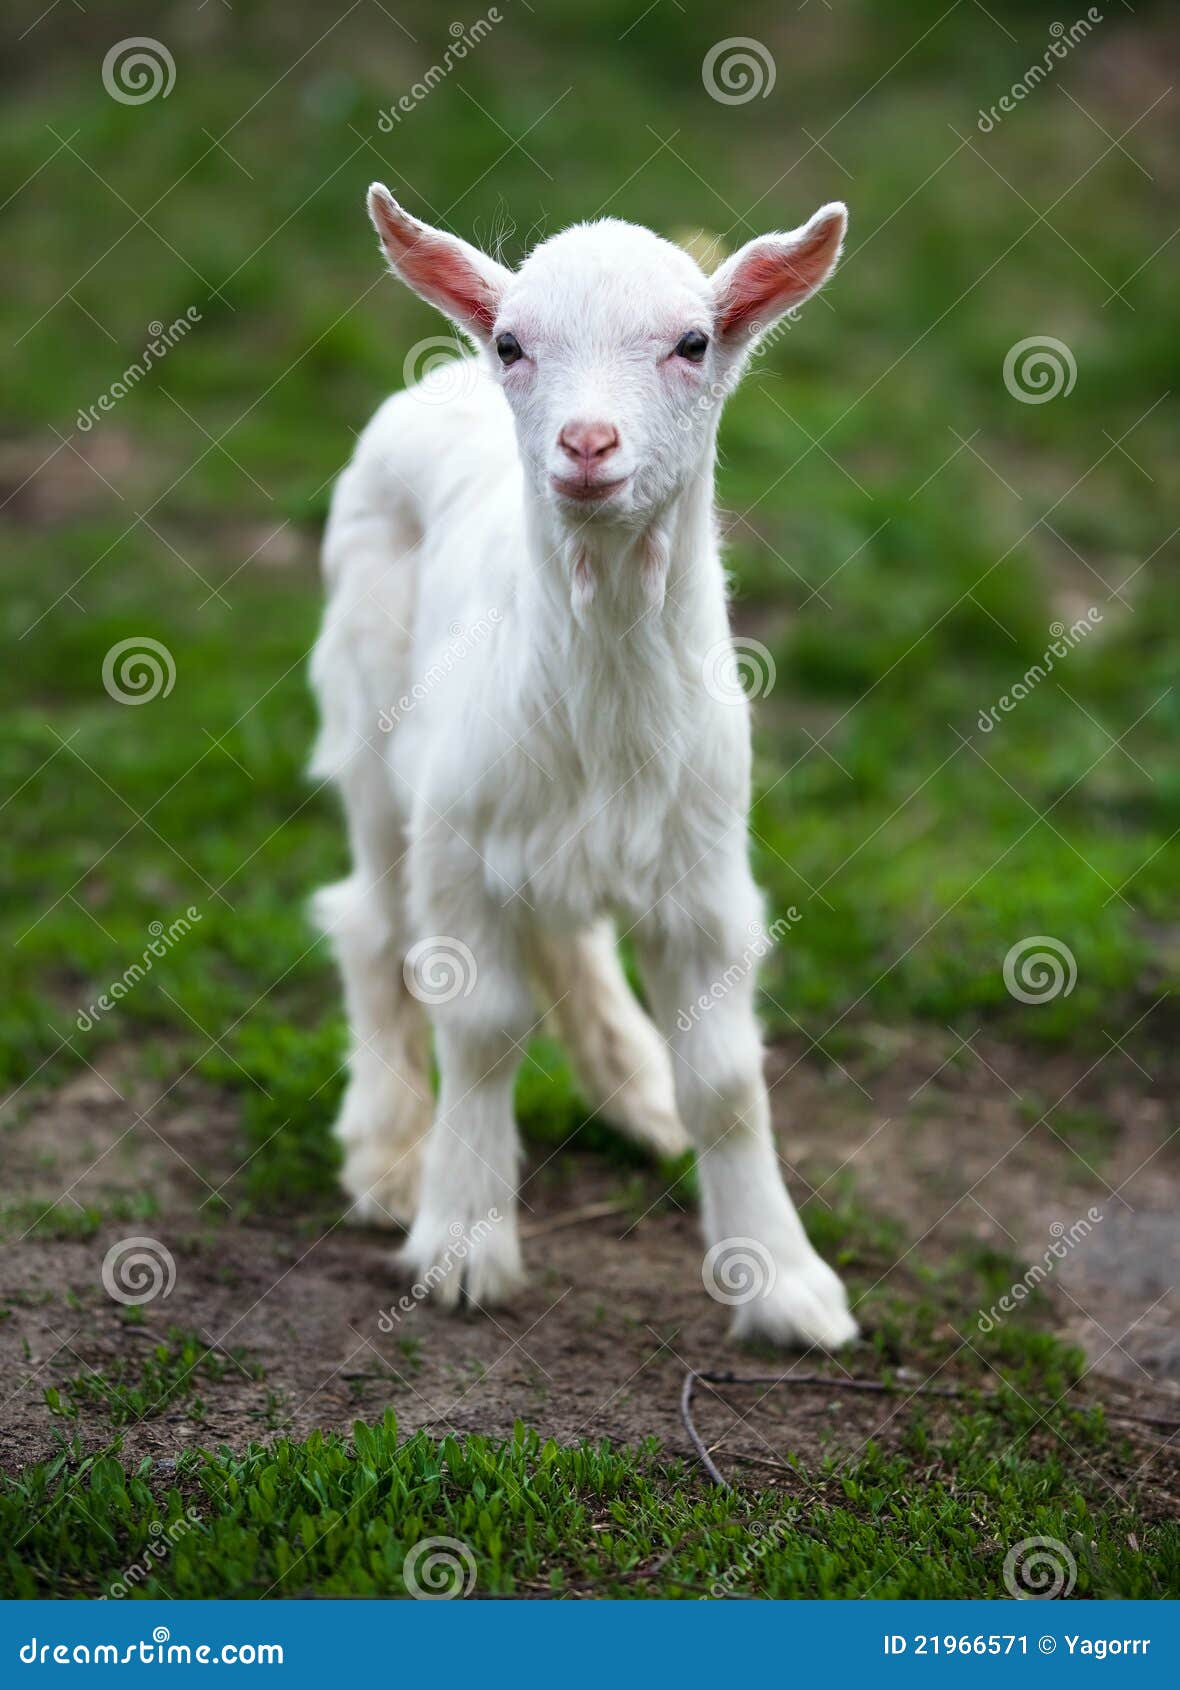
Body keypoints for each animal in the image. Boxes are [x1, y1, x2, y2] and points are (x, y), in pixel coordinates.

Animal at [308, 184, 856, 1349]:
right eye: (516, 344)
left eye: (694, 343)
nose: (588, 441)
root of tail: (439, 376)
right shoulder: (458, 843)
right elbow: (481, 1030)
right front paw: (462, 1247)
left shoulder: (705, 875)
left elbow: (727, 1079)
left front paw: (784, 1282)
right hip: (370, 722)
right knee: (370, 917)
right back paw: (387, 1155)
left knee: (567, 931)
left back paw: (635, 1085)